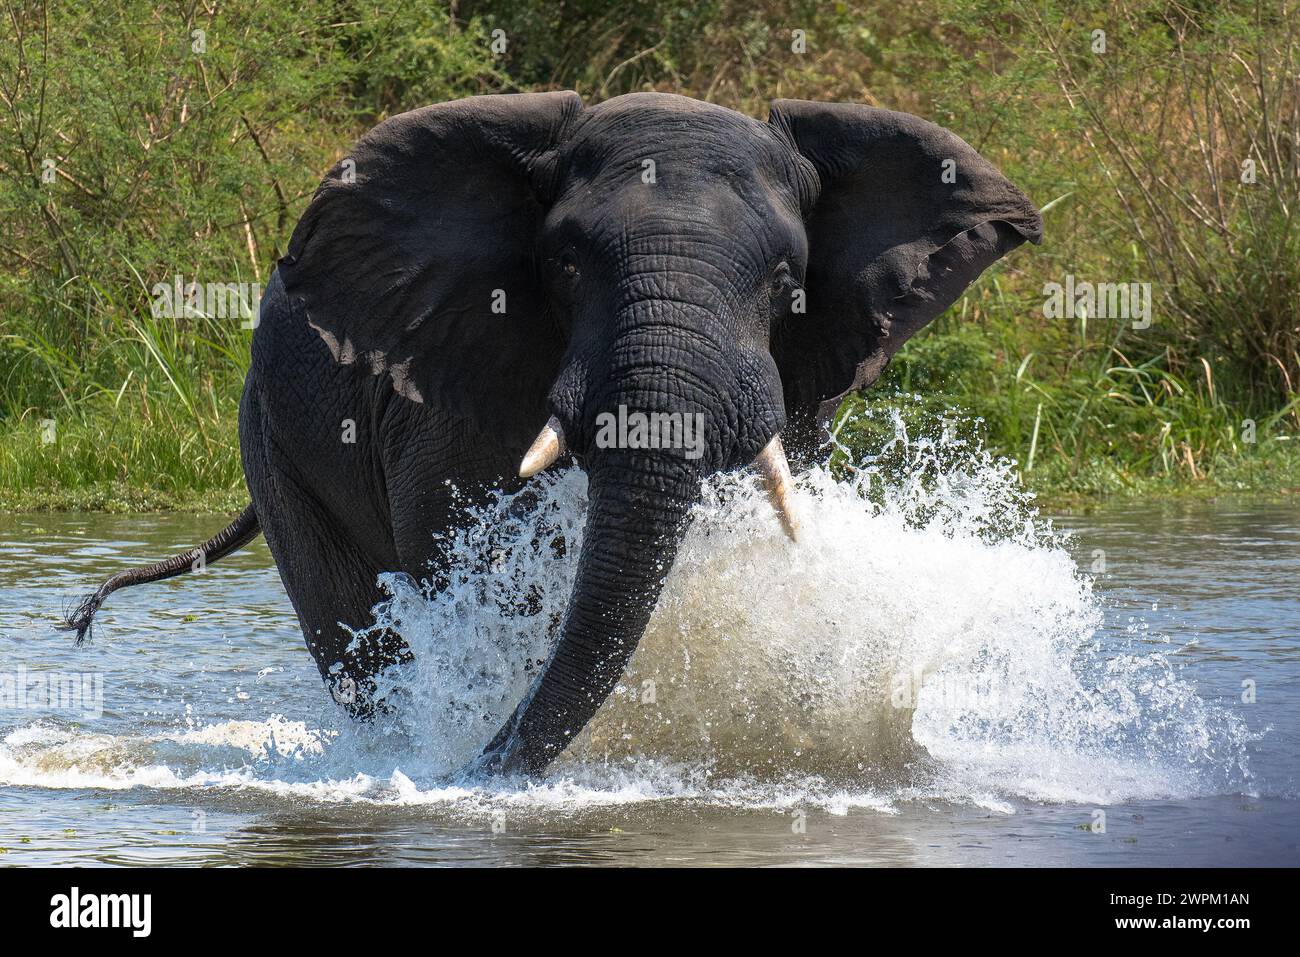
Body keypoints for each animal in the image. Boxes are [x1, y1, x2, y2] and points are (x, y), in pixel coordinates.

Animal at [63, 92, 1042, 776]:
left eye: (785, 280)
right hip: (270, 437)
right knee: (351, 626)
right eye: (565, 263)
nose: (476, 769)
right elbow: (481, 570)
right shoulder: (451, 387)